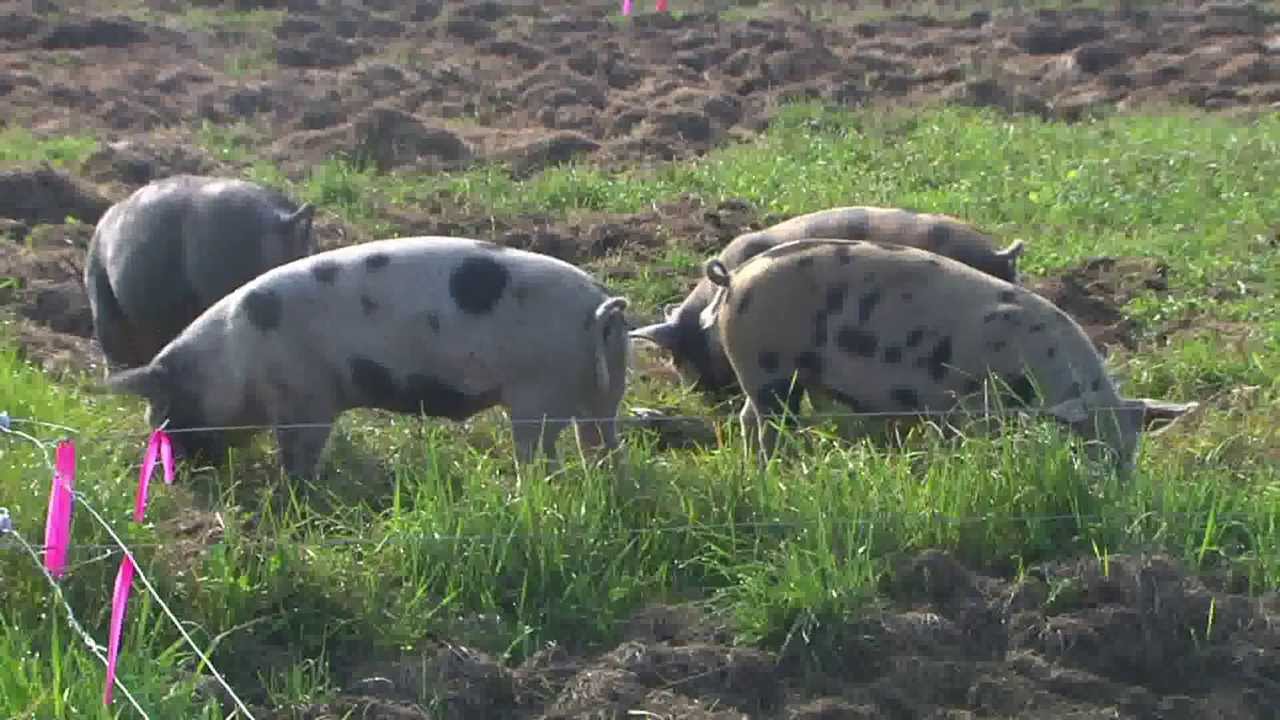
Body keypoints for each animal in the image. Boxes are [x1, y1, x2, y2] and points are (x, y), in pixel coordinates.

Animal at [103, 236, 632, 479]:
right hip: (604, 389)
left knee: (543, 455)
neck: (231, 361)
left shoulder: (304, 399)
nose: (177, 478)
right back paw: (600, 481)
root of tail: (599, 306)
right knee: (601, 442)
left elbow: (299, 452)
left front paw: (296, 491)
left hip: (538, 393)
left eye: (162, 412)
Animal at [702, 238, 1197, 475]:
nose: (1119, 486)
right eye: (1088, 440)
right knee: (767, 424)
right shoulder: (971, 405)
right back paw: (774, 471)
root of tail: (735, 277)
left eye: (1130, 446)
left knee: (747, 419)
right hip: (767, 369)